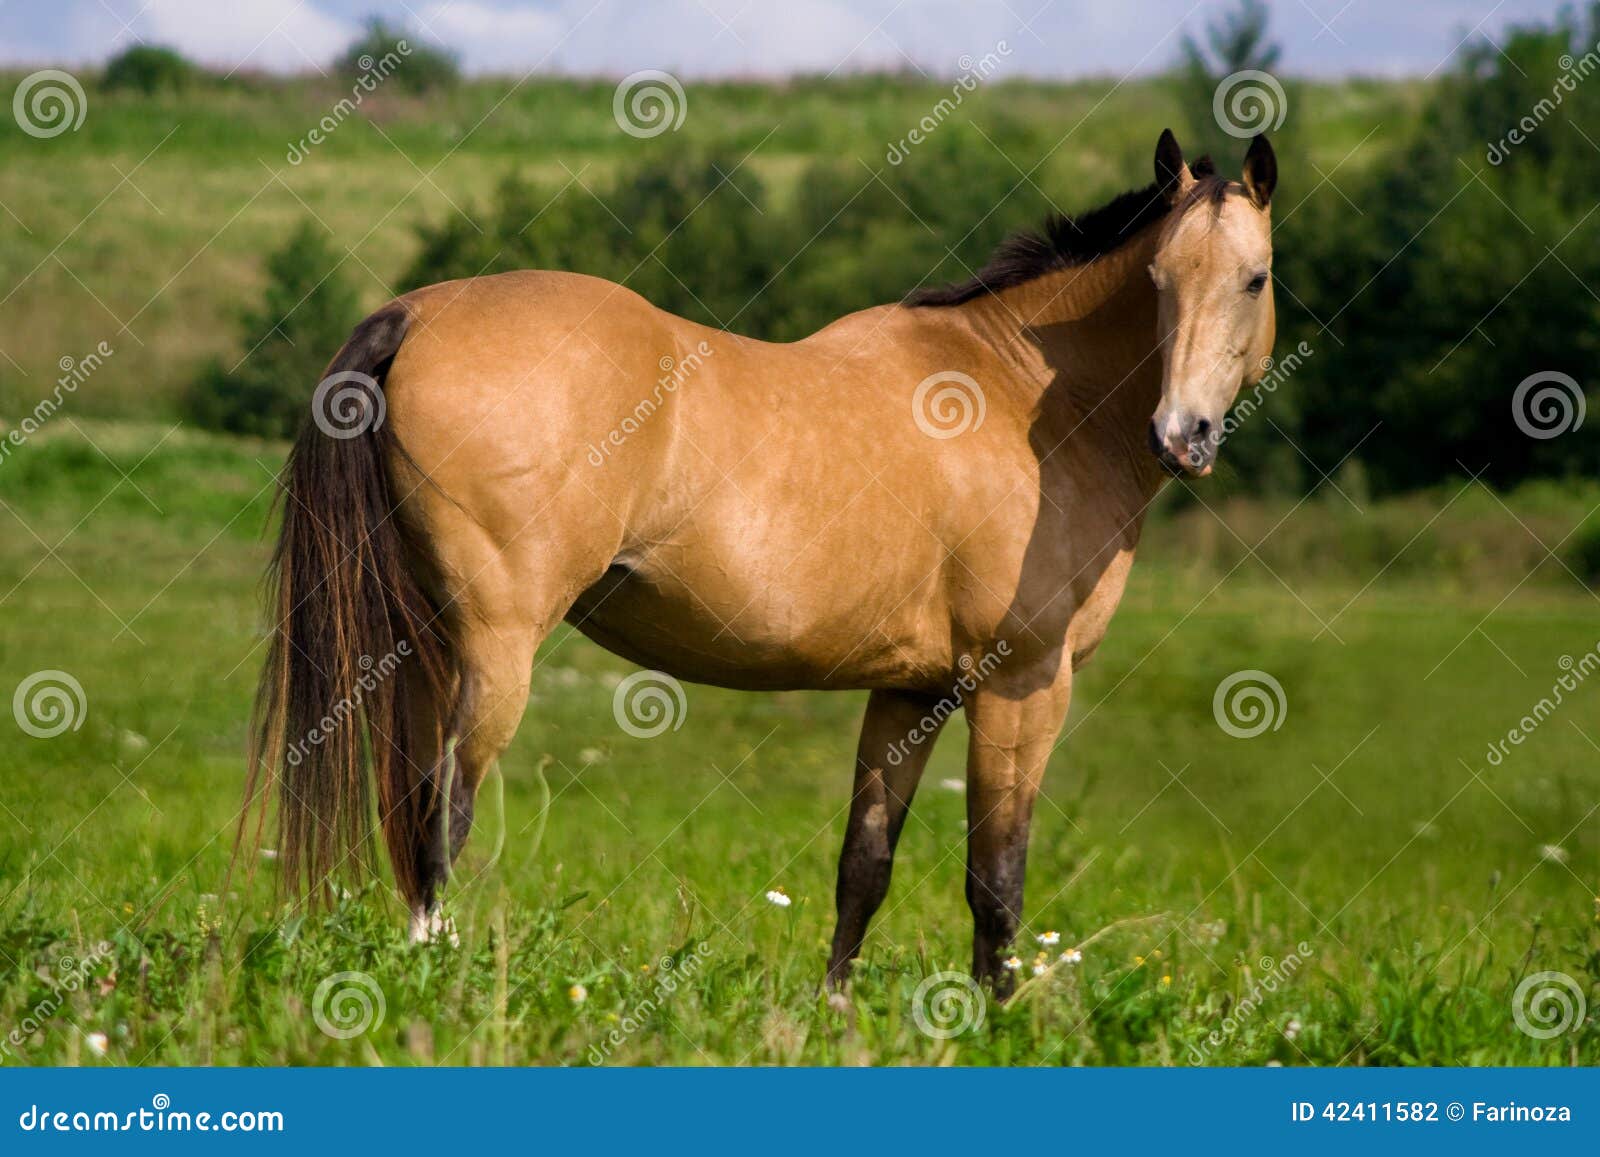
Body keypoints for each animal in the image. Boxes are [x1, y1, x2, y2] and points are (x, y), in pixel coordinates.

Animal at [245, 128, 1277, 995]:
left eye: (1254, 278)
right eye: (1158, 275)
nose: (1183, 434)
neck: (1025, 394)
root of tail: (413, 316)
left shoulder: (912, 689)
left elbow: (865, 866)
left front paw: (835, 1011)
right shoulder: (1023, 686)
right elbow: (996, 878)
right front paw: (998, 1020)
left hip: (418, 650)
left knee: (406, 806)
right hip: (493, 653)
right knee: (441, 819)